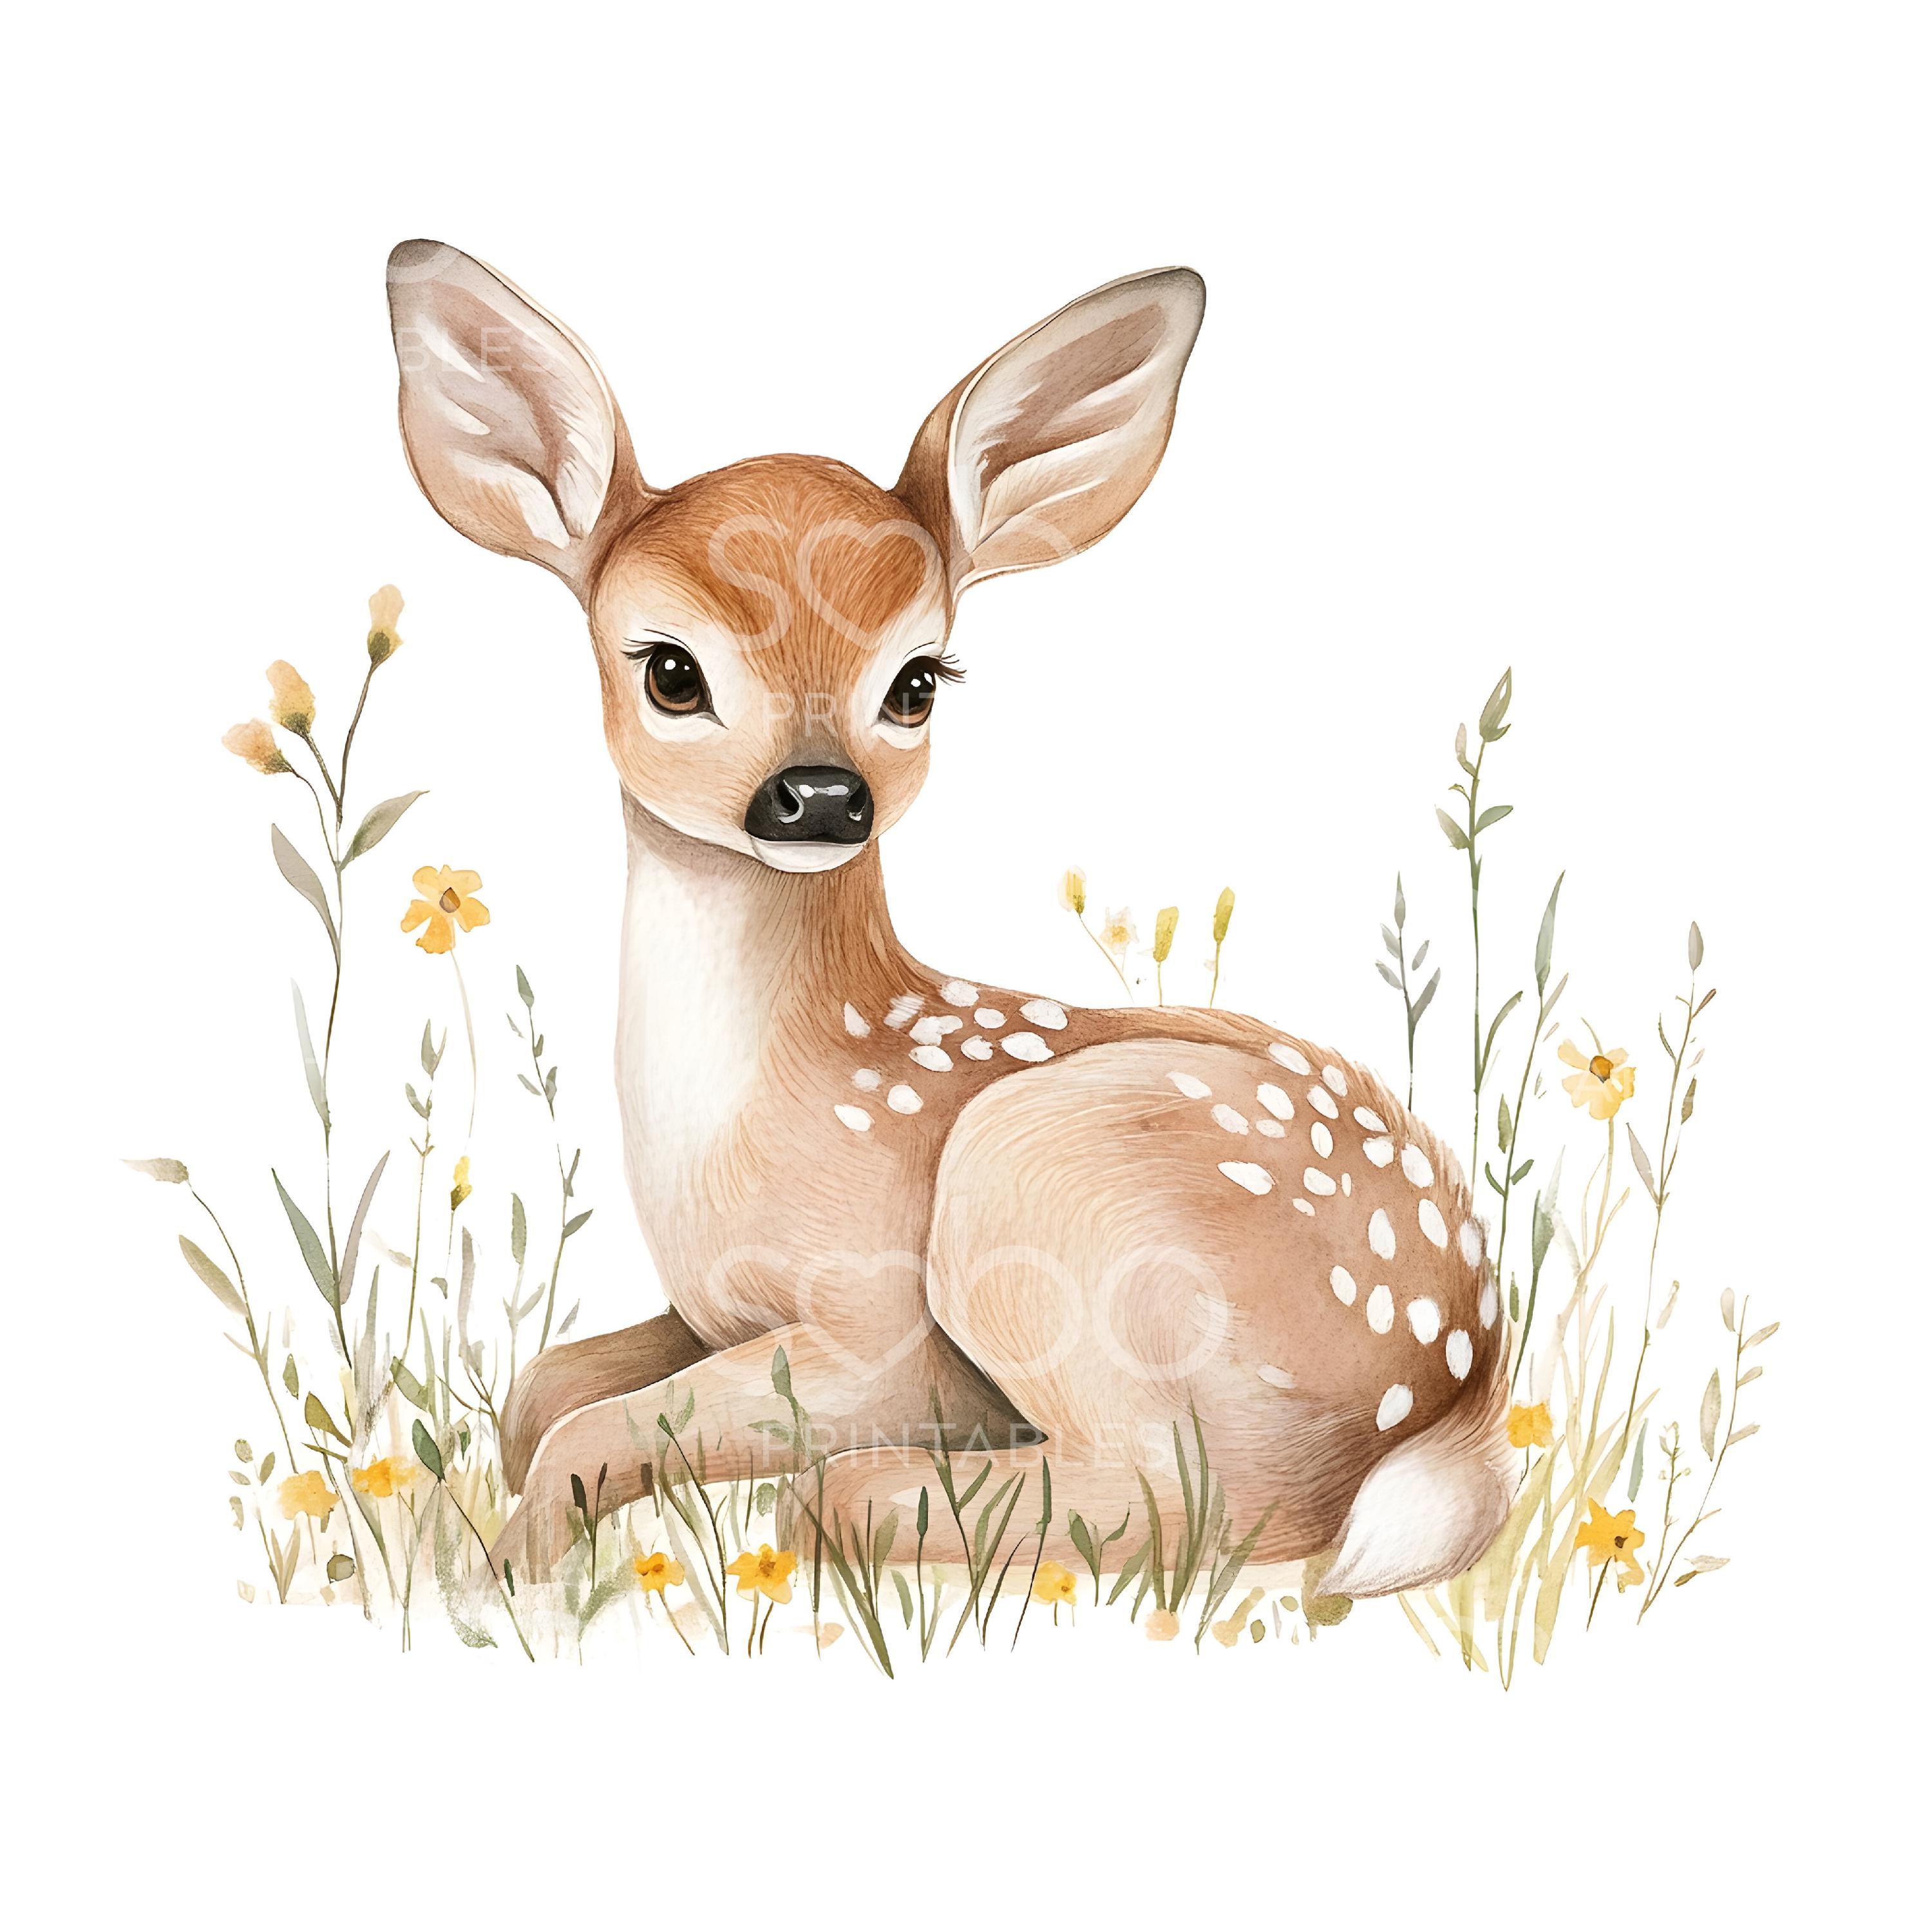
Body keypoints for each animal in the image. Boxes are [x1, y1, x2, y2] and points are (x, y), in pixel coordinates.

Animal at [385, 240, 1513, 1598]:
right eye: (671, 670)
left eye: (917, 682)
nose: (821, 795)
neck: (733, 1128)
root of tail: (1464, 1390)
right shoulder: (706, 1311)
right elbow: (538, 1395)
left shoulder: (886, 1340)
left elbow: (588, 1433)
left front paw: (502, 1578)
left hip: (1045, 1191)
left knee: (1194, 1503)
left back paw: (860, 1499)